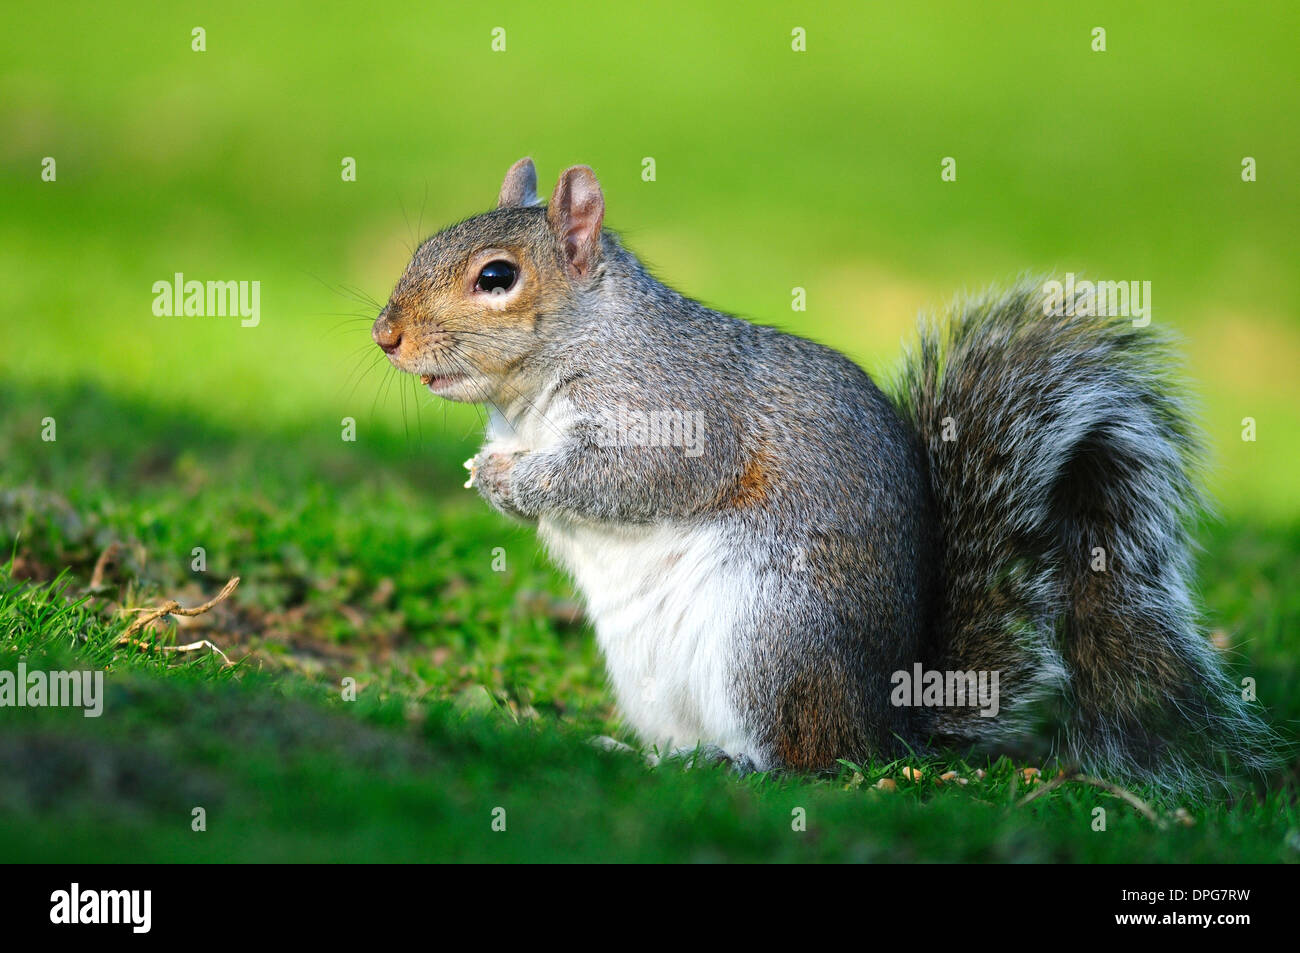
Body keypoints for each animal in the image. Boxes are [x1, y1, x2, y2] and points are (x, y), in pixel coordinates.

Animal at [372, 157, 1275, 793]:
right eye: (421, 247)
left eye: (496, 277)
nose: (385, 334)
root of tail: (887, 724)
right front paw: (487, 471)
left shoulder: (676, 412)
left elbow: (632, 479)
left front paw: (517, 480)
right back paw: (644, 755)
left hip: (772, 638)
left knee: (806, 758)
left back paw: (746, 765)